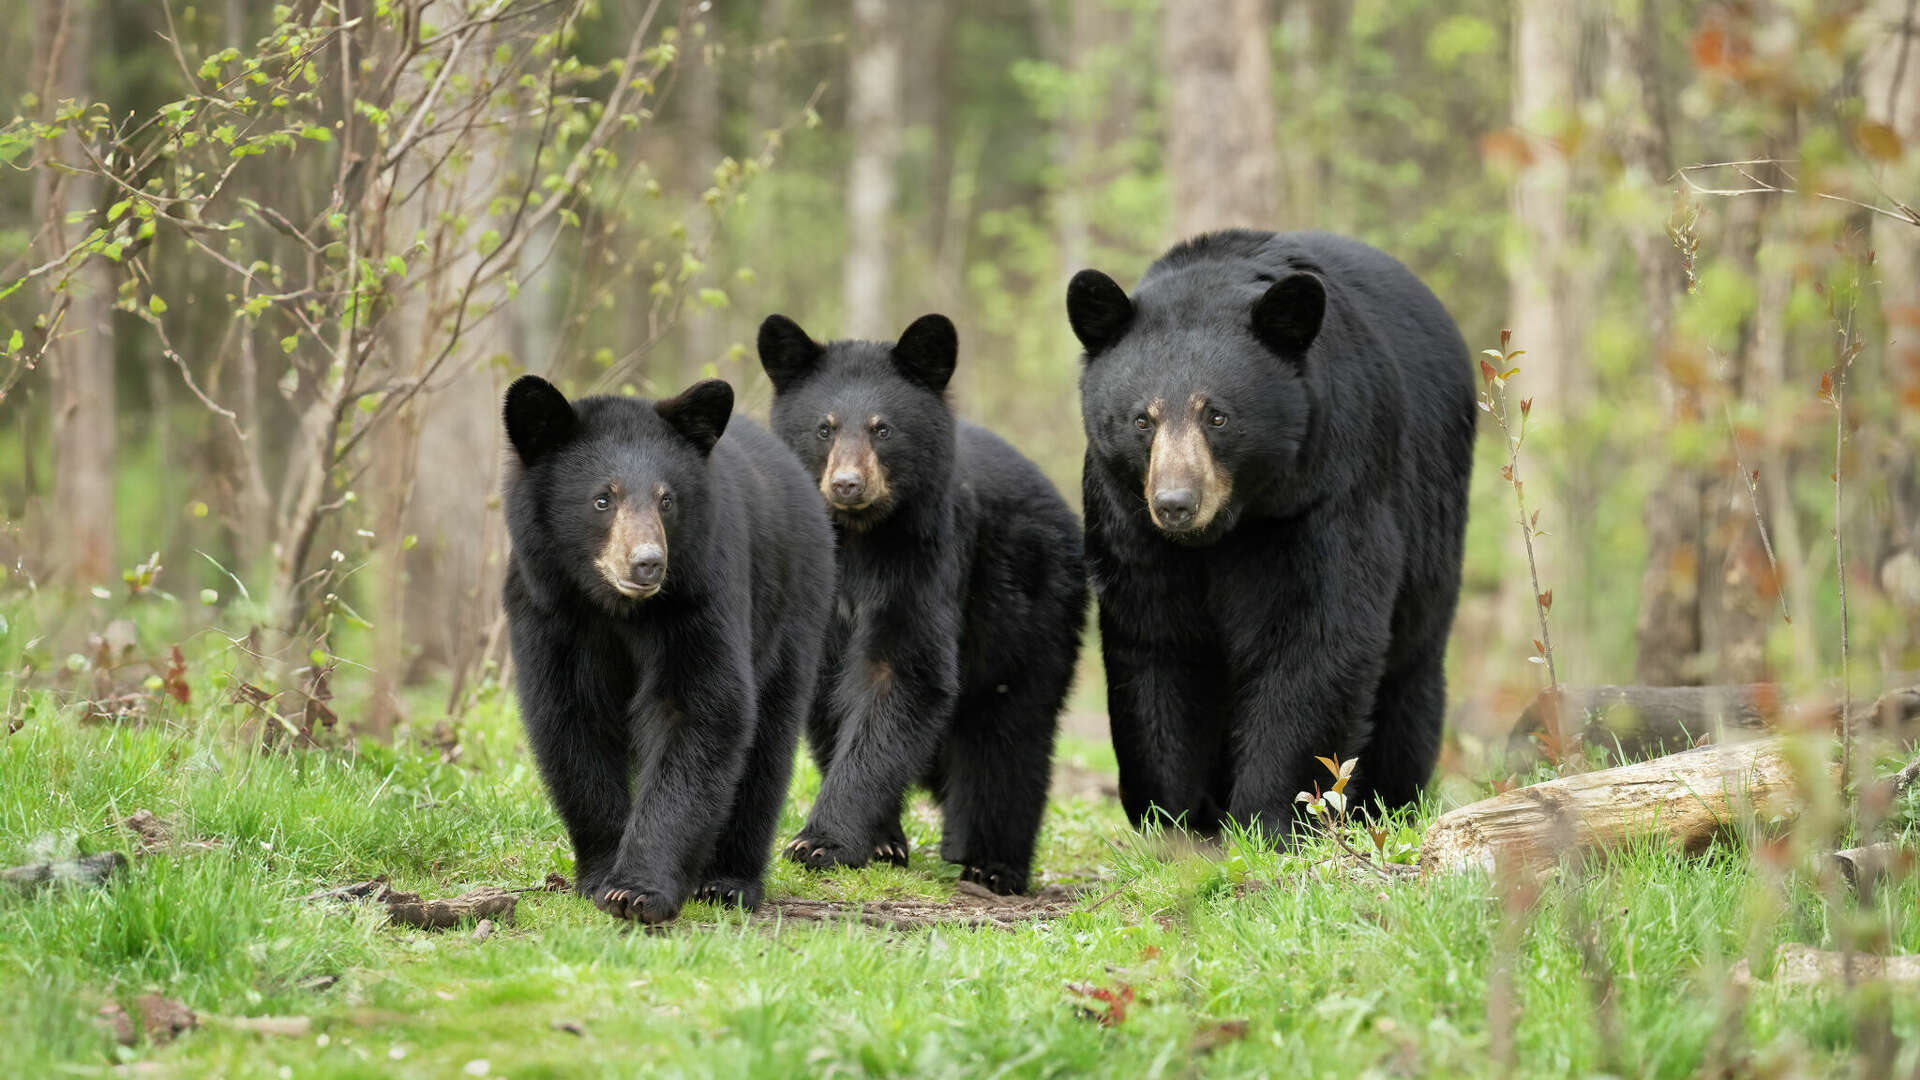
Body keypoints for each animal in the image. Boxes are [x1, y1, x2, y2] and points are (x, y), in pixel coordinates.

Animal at [500, 374, 834, 923]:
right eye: (603, 499)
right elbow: (571, 721)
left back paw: (729, 880)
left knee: (767, 742)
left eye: (666, 501)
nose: (647, 563)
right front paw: (600, 876)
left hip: (792, 605)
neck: (617, 608)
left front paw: (635, 890)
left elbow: (699, 710)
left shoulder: (699, 596)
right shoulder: (548, 608)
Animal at [756, 311, 1087, 894]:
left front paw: (821, 841)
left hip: (1034, 610)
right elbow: (827, 695)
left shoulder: (925, 559)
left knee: (1011, 735)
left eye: (882, 429)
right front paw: (882, 841)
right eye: (824, 428)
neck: (859, 537)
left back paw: (993, 864)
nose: (847, 485)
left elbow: (904, 674)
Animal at [1065, 229, 1475, 836]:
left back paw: (1389, 798)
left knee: (1410, 673)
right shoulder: (1128, 519)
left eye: (1217, 416)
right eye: (1142, 420)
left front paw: (1273, 817)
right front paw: (1171, 817)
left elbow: (1316, 633)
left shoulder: (1326, 488)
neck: (1229, 525)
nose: (1175, 504)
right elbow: (1156, 640)